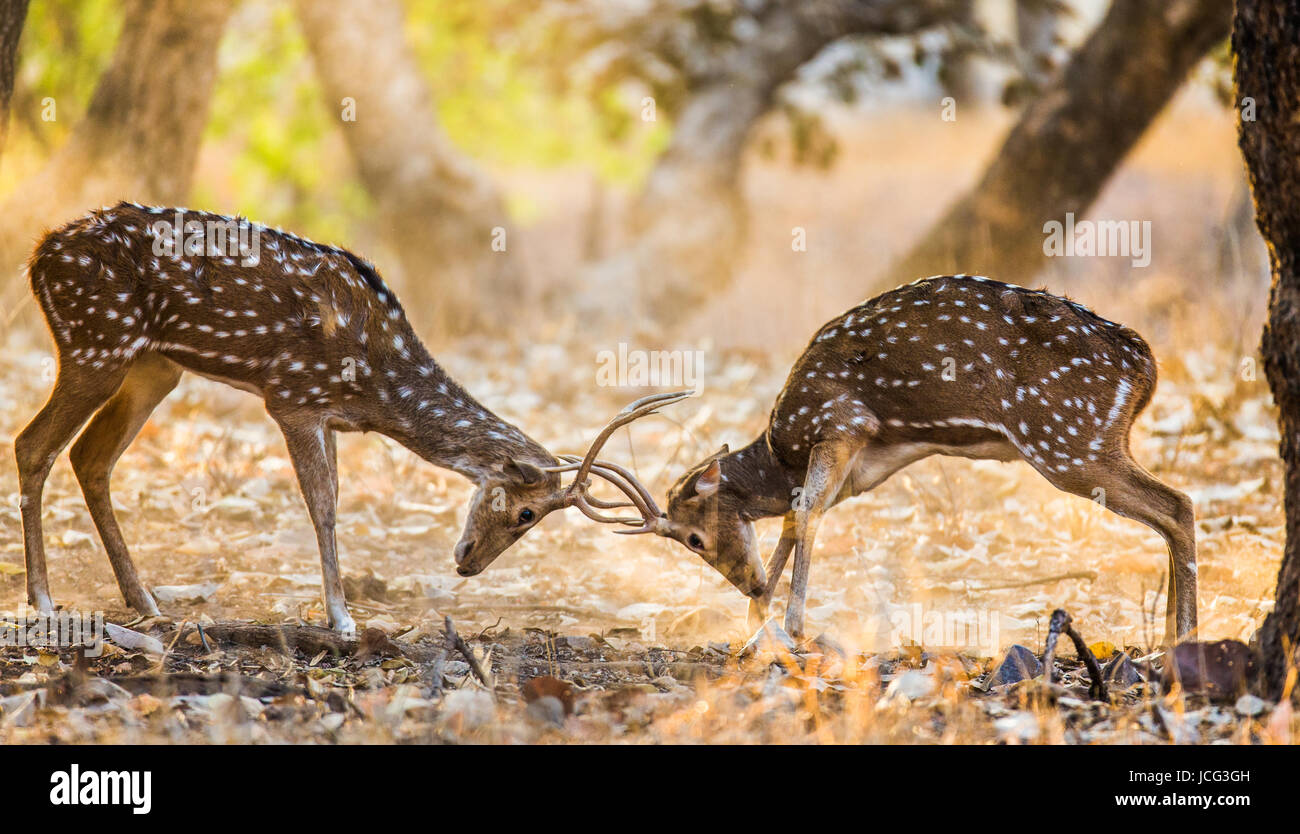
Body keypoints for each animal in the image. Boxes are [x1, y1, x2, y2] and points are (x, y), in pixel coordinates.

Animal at [14, 202, 686, 635]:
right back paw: (43, 601)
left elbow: (331, 500)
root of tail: (37, 254)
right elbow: (324, 506)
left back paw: (146, 602)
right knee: (31, 444)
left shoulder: (330, 417)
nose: (468, 562)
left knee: (89, 456)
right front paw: (341, 619)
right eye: (526, 514)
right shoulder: (292, 396)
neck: (379, 387)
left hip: (153, 365)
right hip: (96, 341)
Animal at [579, 275, 1198, 646]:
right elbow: (798, 514)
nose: (749, 586)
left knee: (1177, 504)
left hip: (1066, 439)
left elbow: (804, 513)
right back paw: (1169, 641)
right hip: (1092, 440)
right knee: (1172, 511)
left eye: (694, 539)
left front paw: (790, 628)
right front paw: (757, 625)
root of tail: (1146, 366)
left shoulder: (843, 422)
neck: (782, 448)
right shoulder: (860, 467)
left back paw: (1182, 642)